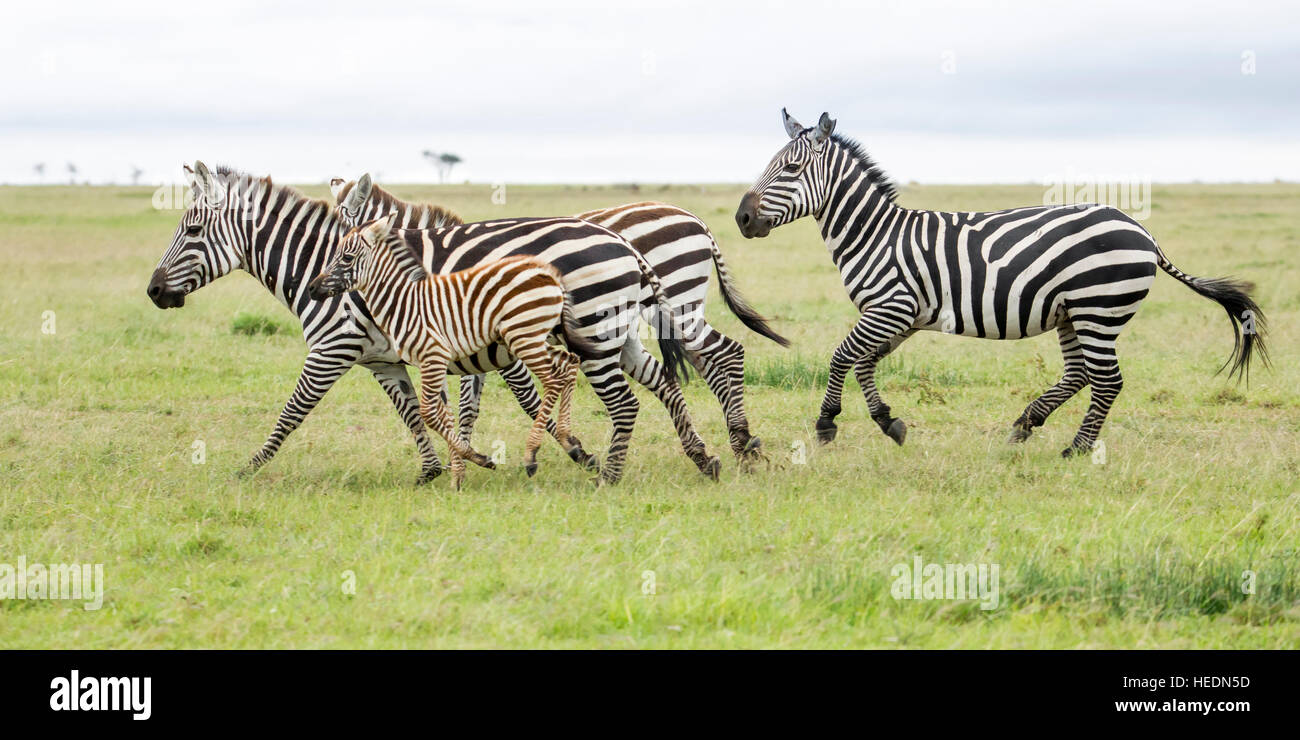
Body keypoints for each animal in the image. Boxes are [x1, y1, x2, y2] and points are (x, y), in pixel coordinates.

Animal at [307, 214, 589, 488]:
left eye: (346, 257)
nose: (312, 288)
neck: (404, 302)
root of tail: (551, 274)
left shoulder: (434, 356)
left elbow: (429, 413)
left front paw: (474, 459)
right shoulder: (430, 363)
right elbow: (444, 415)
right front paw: (460, 471)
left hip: (525, 338)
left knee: (552, 380)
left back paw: (531, 455)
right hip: (531, 337)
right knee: (569, 363)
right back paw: (567, 436)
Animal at [330, 174, 789, 464]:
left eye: (341, 246)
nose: (325, 289)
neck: (431, 254)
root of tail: (695, 219)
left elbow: (504, 396)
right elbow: (468, 400)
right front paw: (466, 453)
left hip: (677, 301)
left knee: (723, 352)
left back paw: (741, 441)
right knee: (704, 361)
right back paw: (732, 444)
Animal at [734, 110, 1268, 457]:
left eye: (792, 168)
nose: (741, 218)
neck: (876, 234)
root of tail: (1143, 231)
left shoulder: (891, 307)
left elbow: (843, 355)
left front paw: (827, 424)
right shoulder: (898, 318)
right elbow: (864, 362)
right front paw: (889, 422)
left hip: (1098, 309)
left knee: (1107, 381)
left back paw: (1076, 448)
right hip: (1072, 314)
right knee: (1079, 374)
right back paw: (1025, 425)